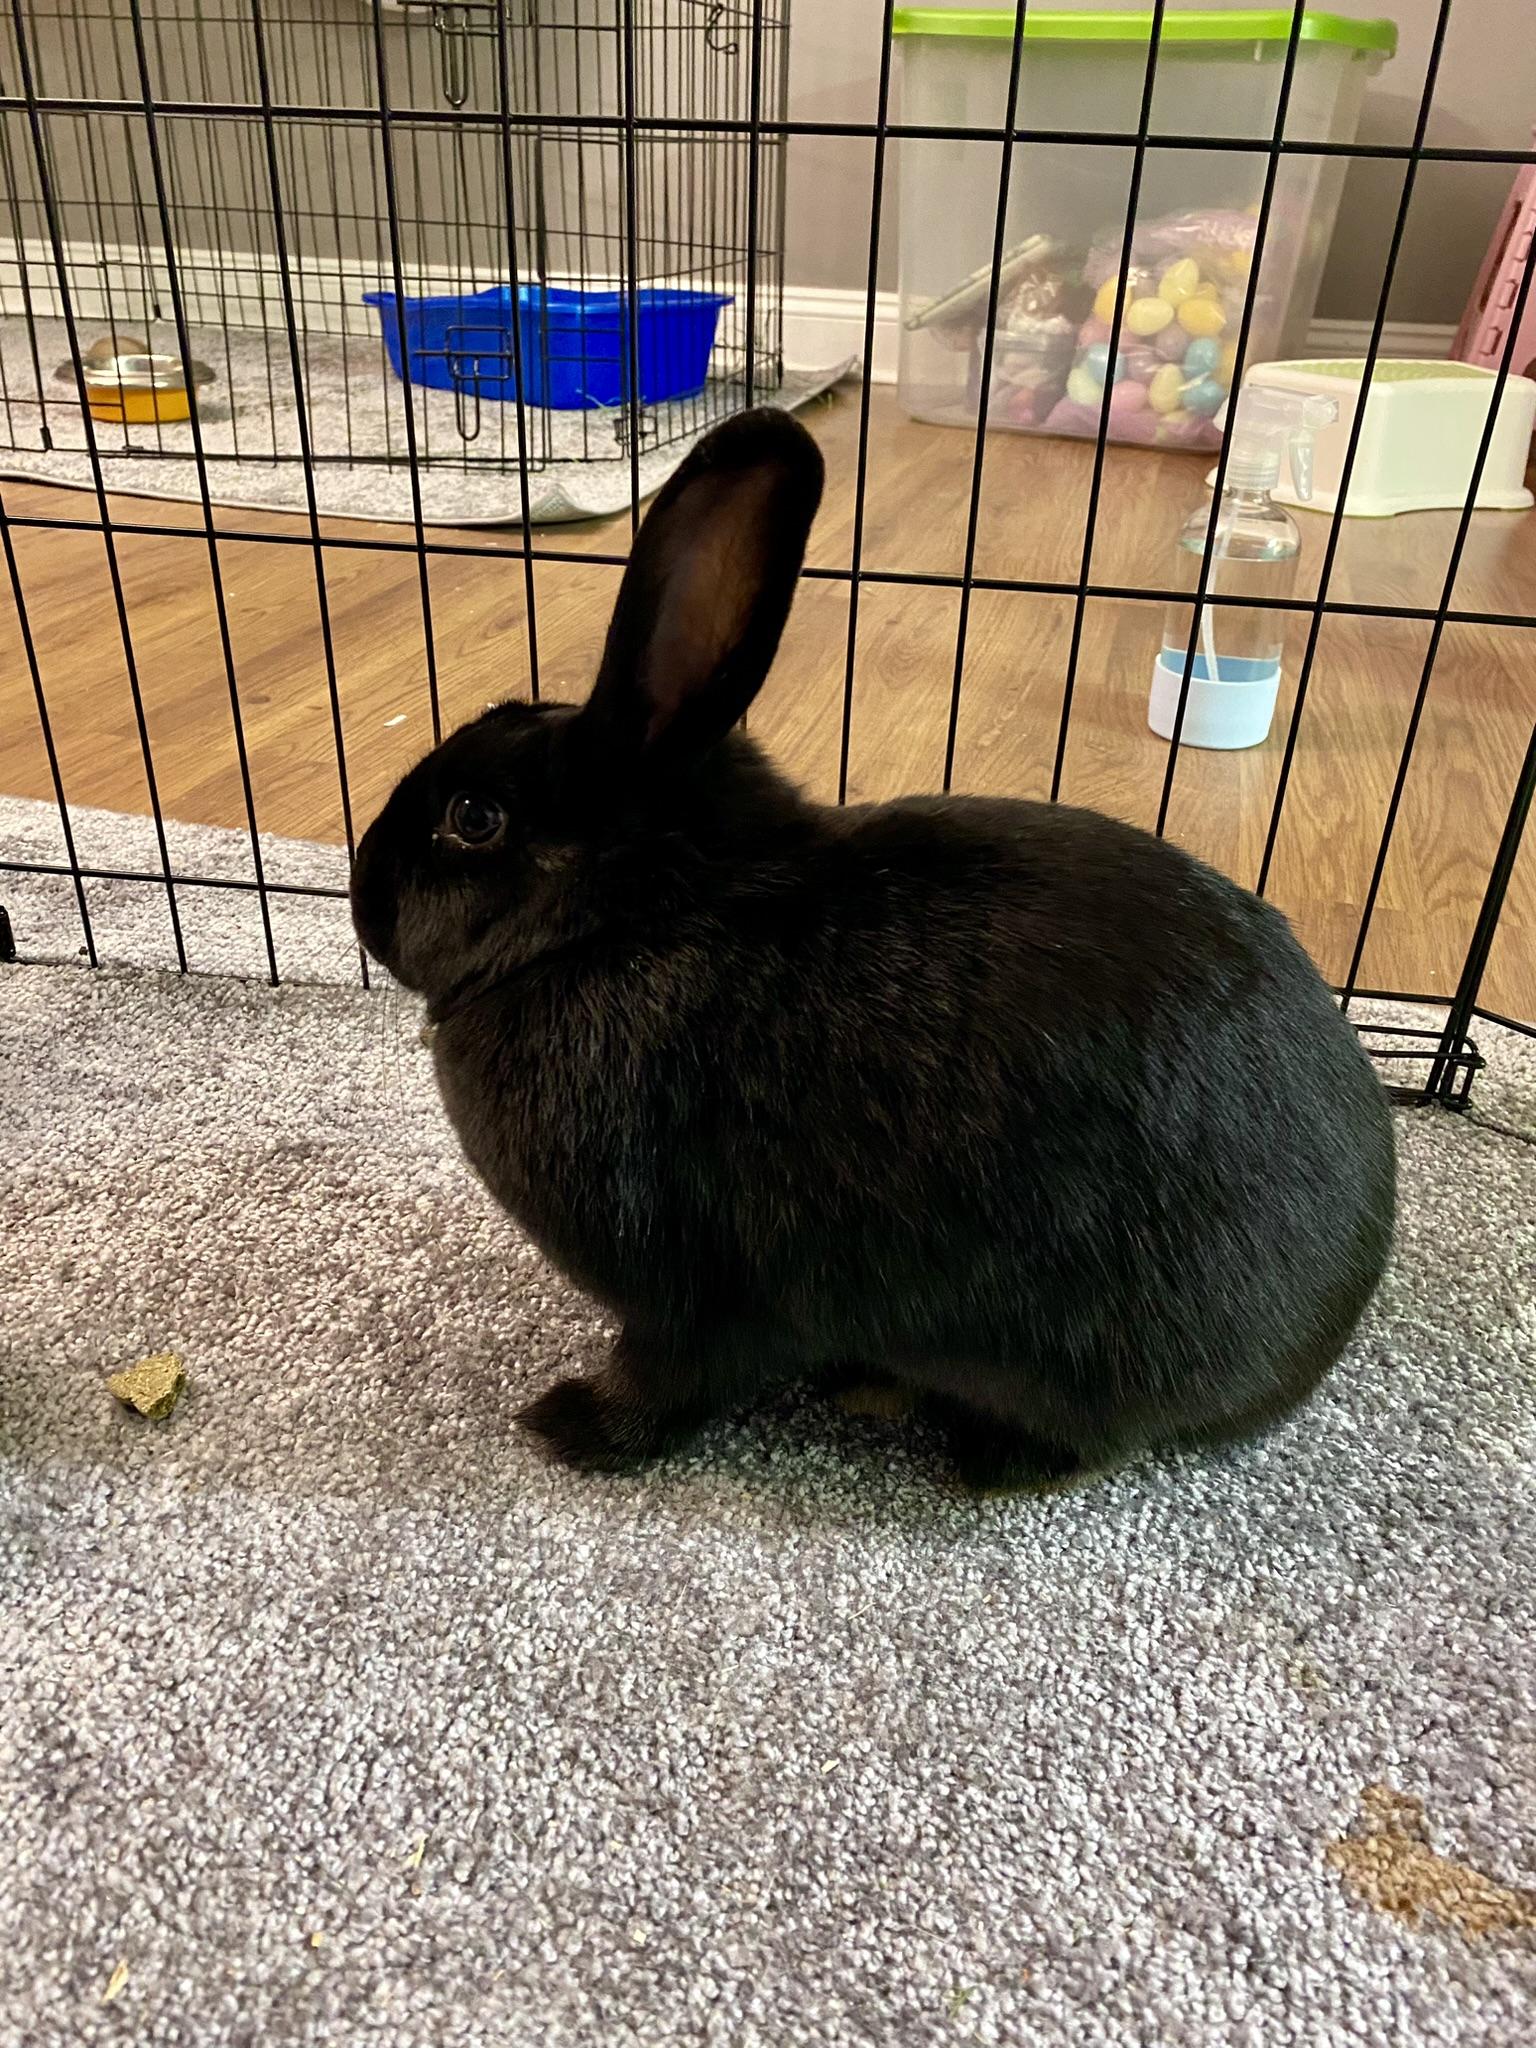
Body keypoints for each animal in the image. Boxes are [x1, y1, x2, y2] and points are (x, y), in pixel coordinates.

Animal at [351, 406, 1395, 1493]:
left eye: (474, 818)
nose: (362, 895)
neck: (626, 918)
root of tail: (1333, 1322)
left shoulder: (688, 1292)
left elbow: (667, 1378)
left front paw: (568, 1427)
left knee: (1080, 1446)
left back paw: (952, 1437)